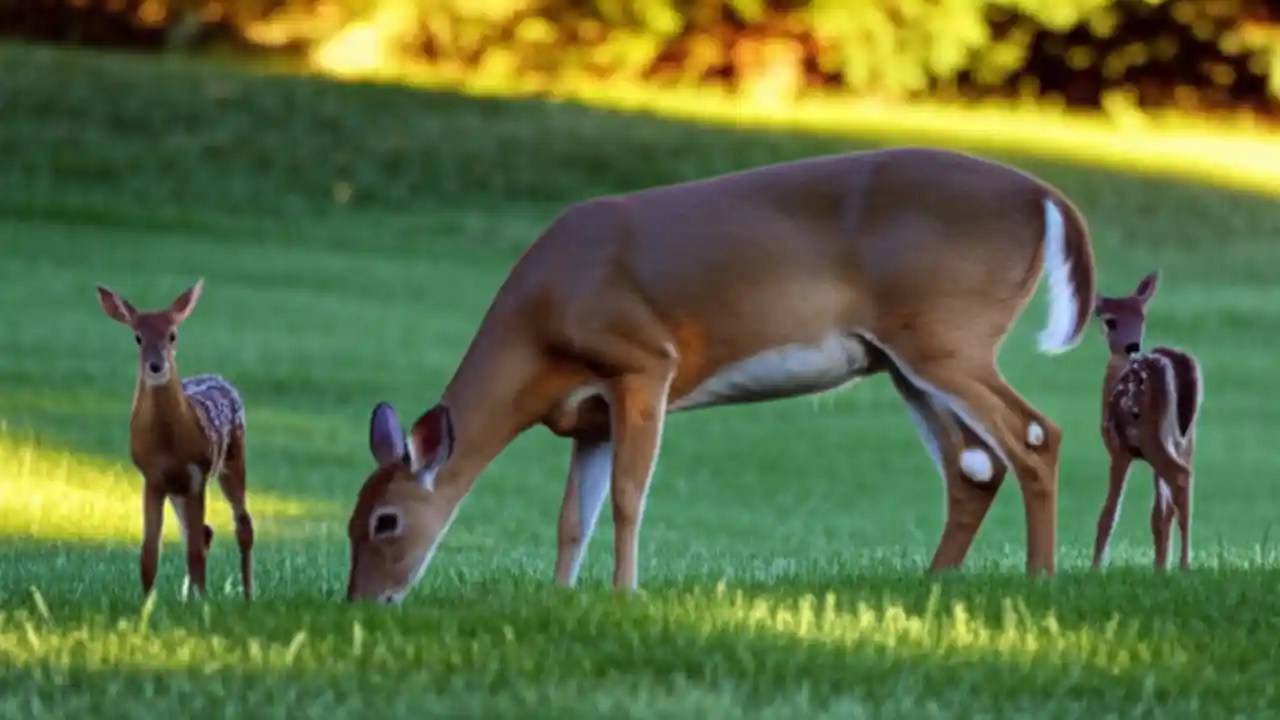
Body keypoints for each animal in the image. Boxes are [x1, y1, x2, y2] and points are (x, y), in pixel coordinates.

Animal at [95, 279, 256, 600]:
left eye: (172, 335)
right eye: (138, 338)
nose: (156, 366)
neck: (169, 444)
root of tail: (219, 377)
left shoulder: (196, 475)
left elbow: (194, 551)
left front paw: (202, 601)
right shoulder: (153, 479)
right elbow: (150, 551)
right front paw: (147, 601)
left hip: (233, 458)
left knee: (241, 525)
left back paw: (246, 595)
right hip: (178, 491)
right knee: (205, 531)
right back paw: (188, 594)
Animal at [343, 146, 1097, 604]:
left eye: (384, 522)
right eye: (349, 523)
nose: (364, 602)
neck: (543, 327)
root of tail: (1048, 199)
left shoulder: (644, 362)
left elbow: (628, 497)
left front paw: (623, 595)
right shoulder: (587, 420)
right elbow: (571, 518)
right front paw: (561, 597)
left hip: (949, 334)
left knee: (1034, 435)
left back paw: (1041, 578)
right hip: (906, 358)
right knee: (974, 467)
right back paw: (933, 581)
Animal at [1091, 270, 1203, 571]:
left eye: (1141, 318)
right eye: (1112, 320)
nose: (1132, 346)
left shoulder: (1119, 449)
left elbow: (1109, 514)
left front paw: (1095, 568)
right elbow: (1159, 513)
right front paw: (1159, 568)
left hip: (1152, 435)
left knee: (1181, 476)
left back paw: (1185, 566)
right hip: (1185, 438)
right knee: (1182, 484)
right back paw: (1180, 564)